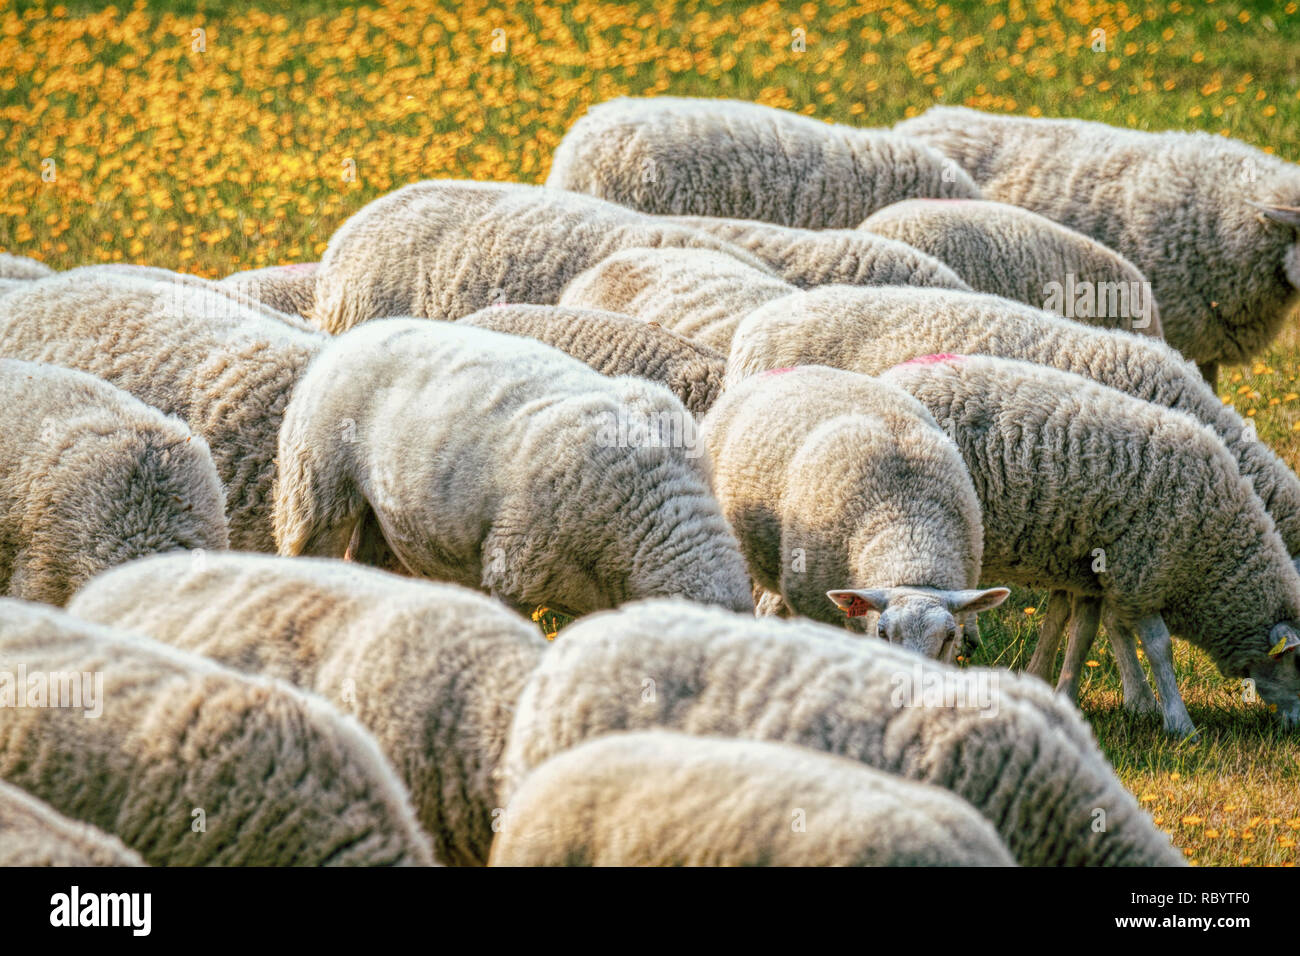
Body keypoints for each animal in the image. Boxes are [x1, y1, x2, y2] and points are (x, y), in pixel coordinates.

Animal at [878, 353, 1300, 737]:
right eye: (1299, 661)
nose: (1296, 729)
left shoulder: (1090, 571)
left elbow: (1082, 633)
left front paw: (1064, 695)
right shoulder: (1141, 572)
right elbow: (1158, 647)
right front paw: (1180, 725)